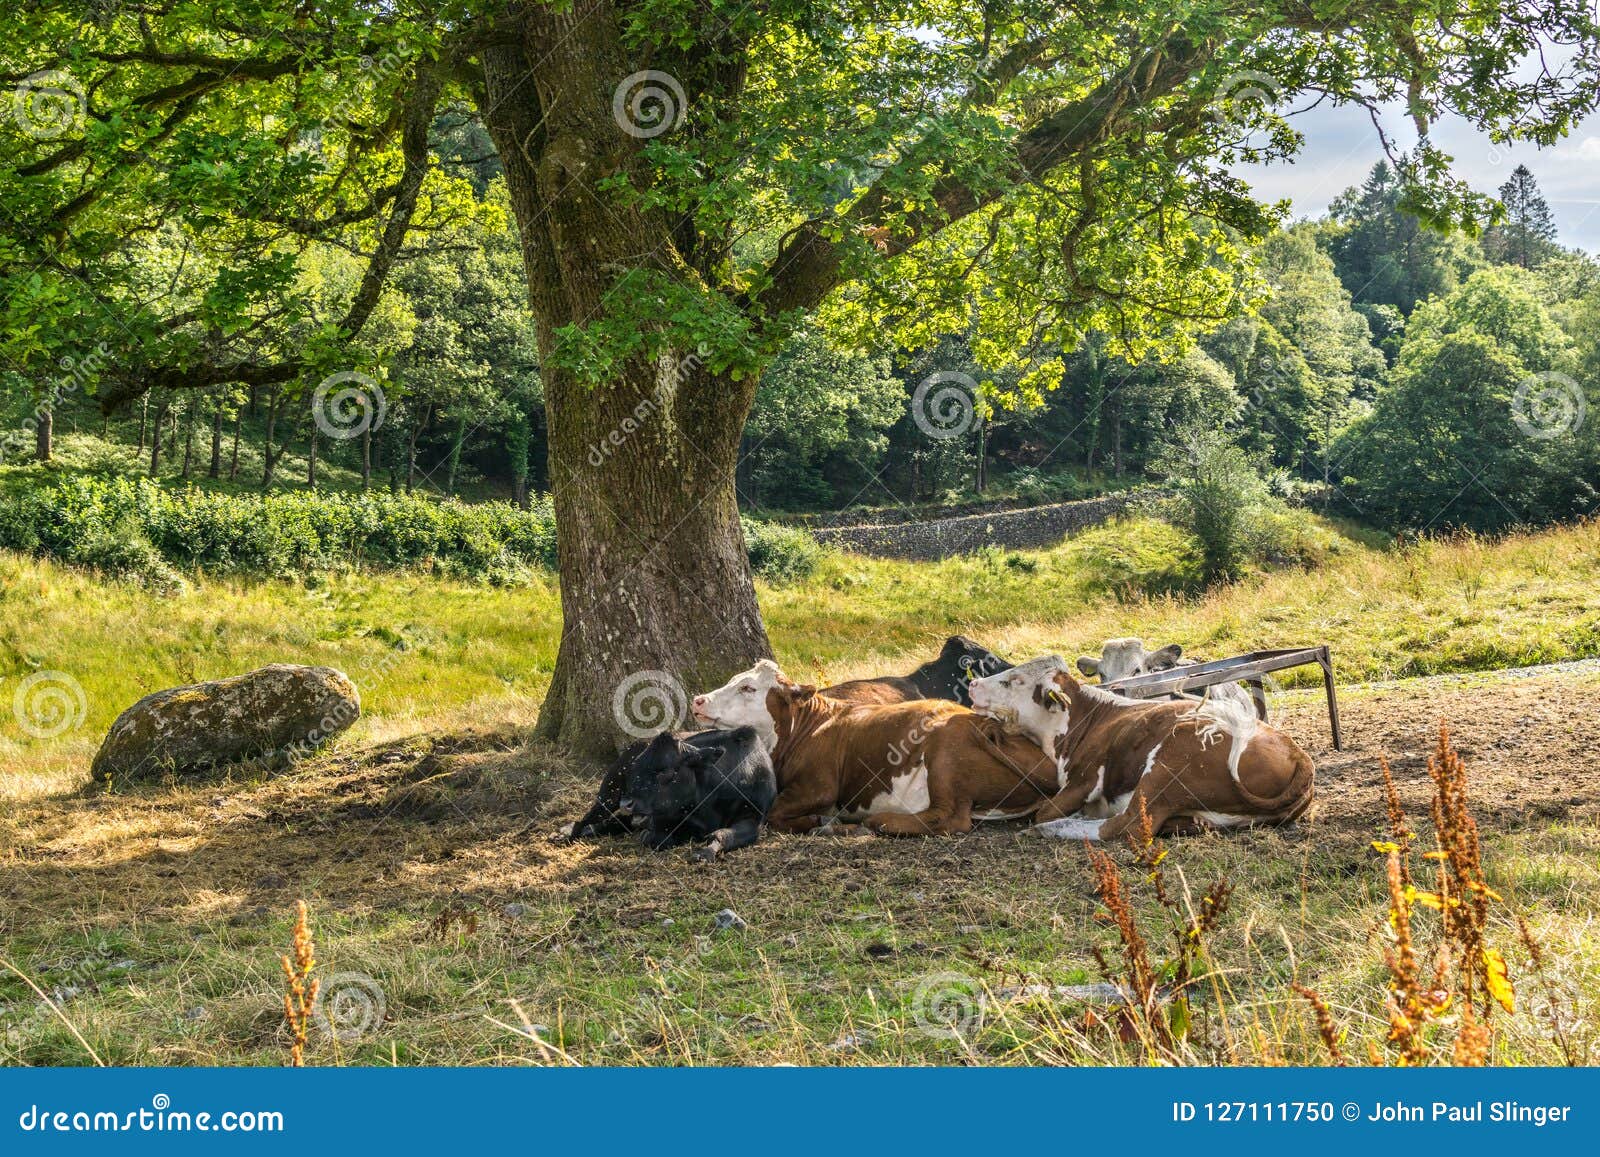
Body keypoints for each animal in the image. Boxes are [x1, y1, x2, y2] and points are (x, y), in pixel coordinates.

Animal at [691, 659, 1058, 835]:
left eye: (748, 688)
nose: (698, 700)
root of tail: (986, 725)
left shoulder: (819, 786)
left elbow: (775, 812)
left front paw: (819, 821)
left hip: (943, 757)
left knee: (950, 818)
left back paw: (881, 821)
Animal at [966, 655, 1314, 842]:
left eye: (1015, 680)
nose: (972, 684)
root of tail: (1299, 754)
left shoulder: (1085, 779)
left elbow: (1046, 809)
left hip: (1168, 762)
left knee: (1126, 825)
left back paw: (1053, 829)